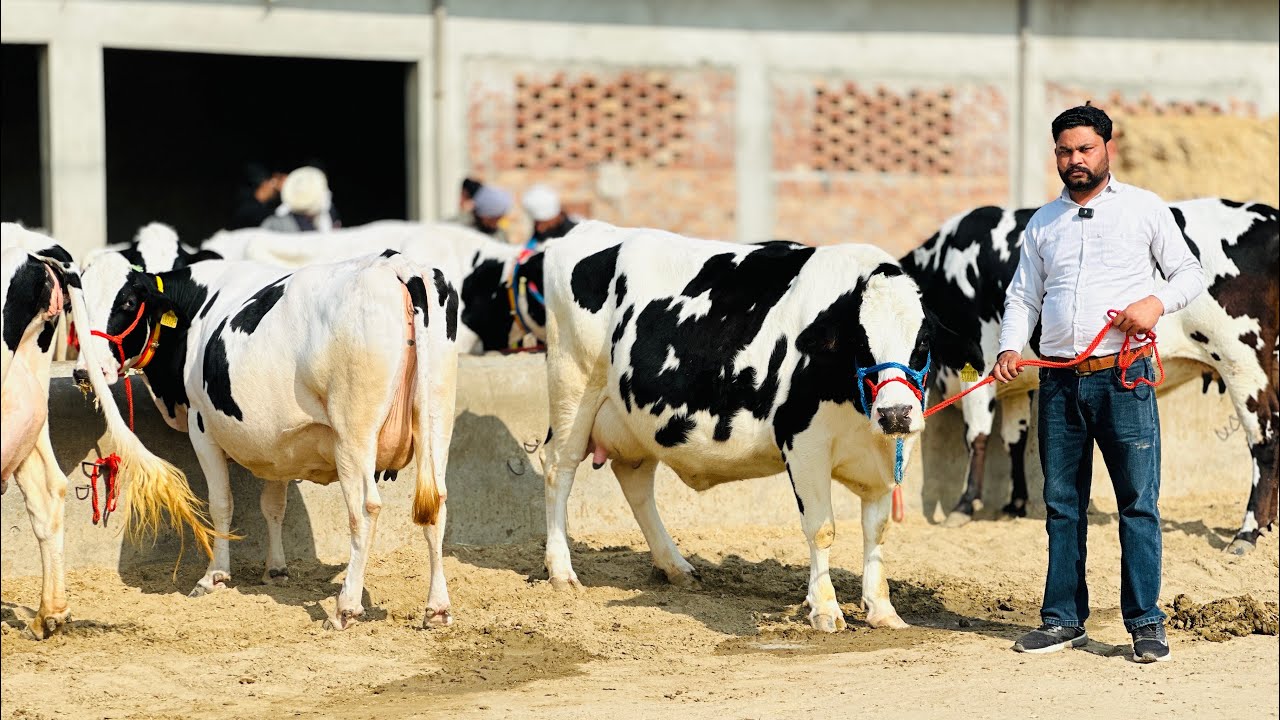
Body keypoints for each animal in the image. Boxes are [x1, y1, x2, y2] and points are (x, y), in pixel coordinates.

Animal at [77, 251, 460, 628]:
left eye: (127, 302)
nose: (83, 372)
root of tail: (397, 264)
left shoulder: (203, 428)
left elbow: (221, 504)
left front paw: (214, 575)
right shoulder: (280, 445)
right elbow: (274, 506)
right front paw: (275, 570)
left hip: (353, 433)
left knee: (365, 509)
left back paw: (346, 607)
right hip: (437, 419)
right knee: (437, 502)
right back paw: (437, 607)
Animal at [541, 221, 933, 632]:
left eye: (923, 340)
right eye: (860, 342)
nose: (895, 413)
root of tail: (591, 228)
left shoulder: (884, 457)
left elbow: (877, 529)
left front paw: (882, 609)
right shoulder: (804, 444)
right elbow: (821, 528)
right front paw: (825, 609)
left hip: (635, 420)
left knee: (635, 482)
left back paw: (675, 566)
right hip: (572, 389)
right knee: (558, 469)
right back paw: (562, 571)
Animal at [901, 198, 1278, 554]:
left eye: (919, 337)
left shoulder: (976, 363)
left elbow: (976, 436)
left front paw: (964, 506)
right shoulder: (1013, 380)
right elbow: (1014, 439)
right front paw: (1015, 504)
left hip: (1240, 360)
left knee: (1264, 437)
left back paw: (1246, 532)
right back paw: (1267, 524)